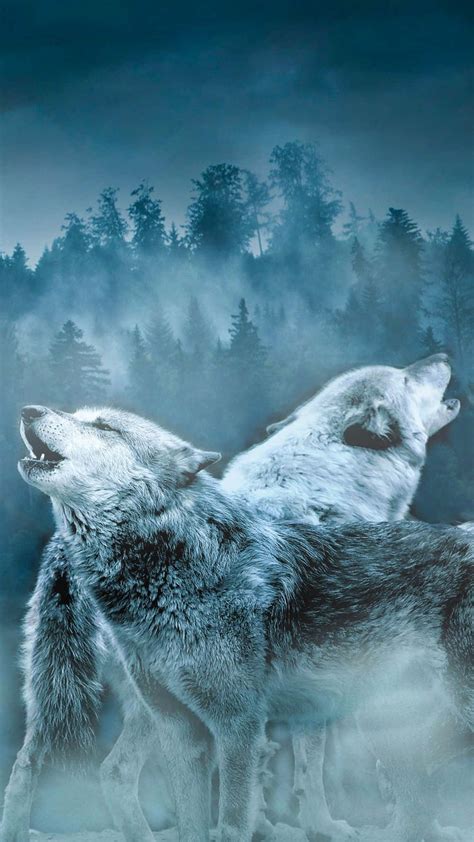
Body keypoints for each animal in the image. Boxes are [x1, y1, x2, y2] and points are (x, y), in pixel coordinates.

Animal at [0, 355, 463, 842]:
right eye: (407, 378)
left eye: (103, 425)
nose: (442, 357)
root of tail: (59, 552)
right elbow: (304, 766)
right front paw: (316, 824)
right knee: (112, 771)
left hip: (62, 699)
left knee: (44, 770)